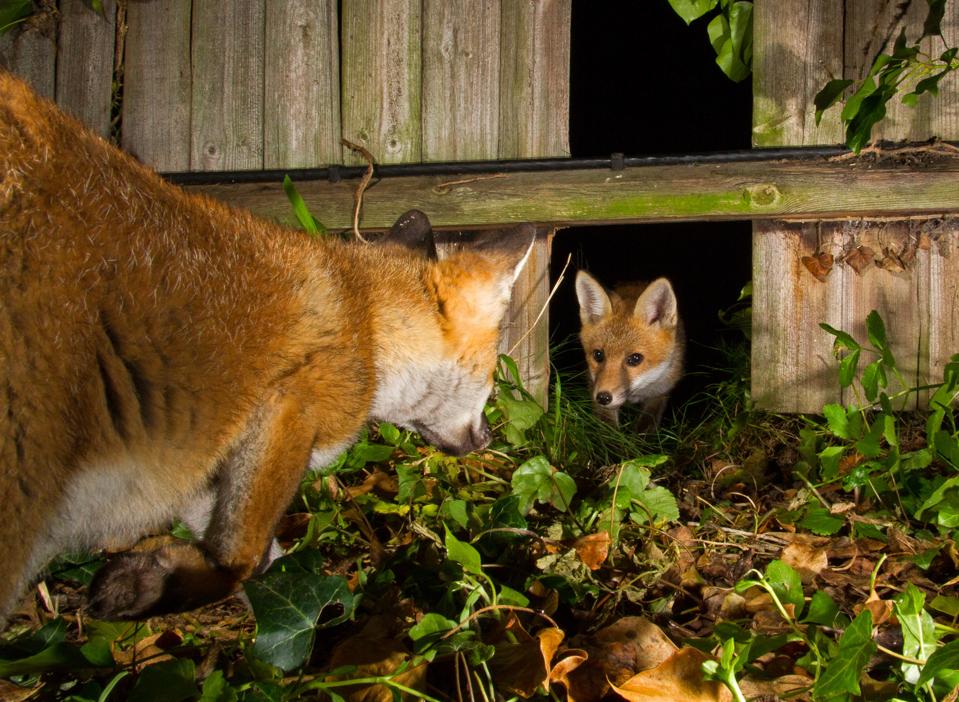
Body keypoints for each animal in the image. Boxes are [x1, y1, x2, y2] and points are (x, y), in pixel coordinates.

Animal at [0, 71, 534, 628]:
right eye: (491, 383)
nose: (490, 437)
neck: (365, 325)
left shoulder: (207, 475)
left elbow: (260, 565)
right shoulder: (290, 406)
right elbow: (241, 560)